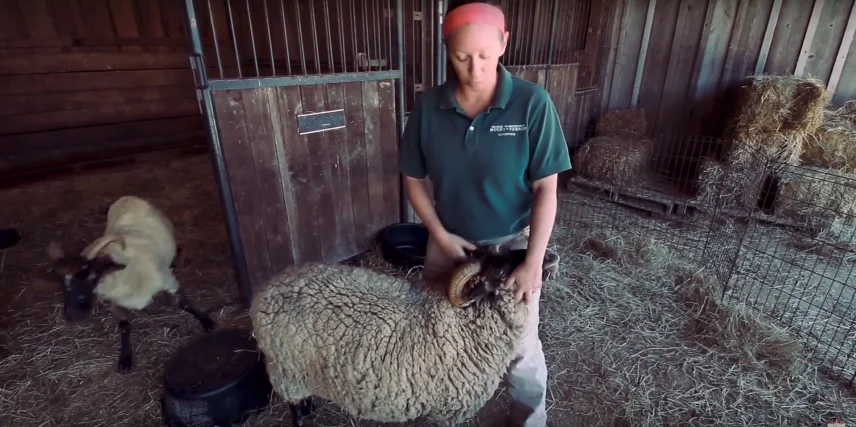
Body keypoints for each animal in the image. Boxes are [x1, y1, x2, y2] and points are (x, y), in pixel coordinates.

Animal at [46, 195, 213, 374]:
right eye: (61, 281)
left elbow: (183, 303)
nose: (72, 317)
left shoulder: (168, 280)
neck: (126, 275)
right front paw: (125, 359)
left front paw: (206, 322)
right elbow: (124, 326)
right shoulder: (115, 302)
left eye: (93, 274)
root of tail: (126, 197)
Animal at [249, 247, 559, 426]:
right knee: (293, 409)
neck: (464, 320)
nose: (551, 256)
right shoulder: (448, 410)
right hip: (286, 373)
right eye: (500, 266)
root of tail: (266, 291)